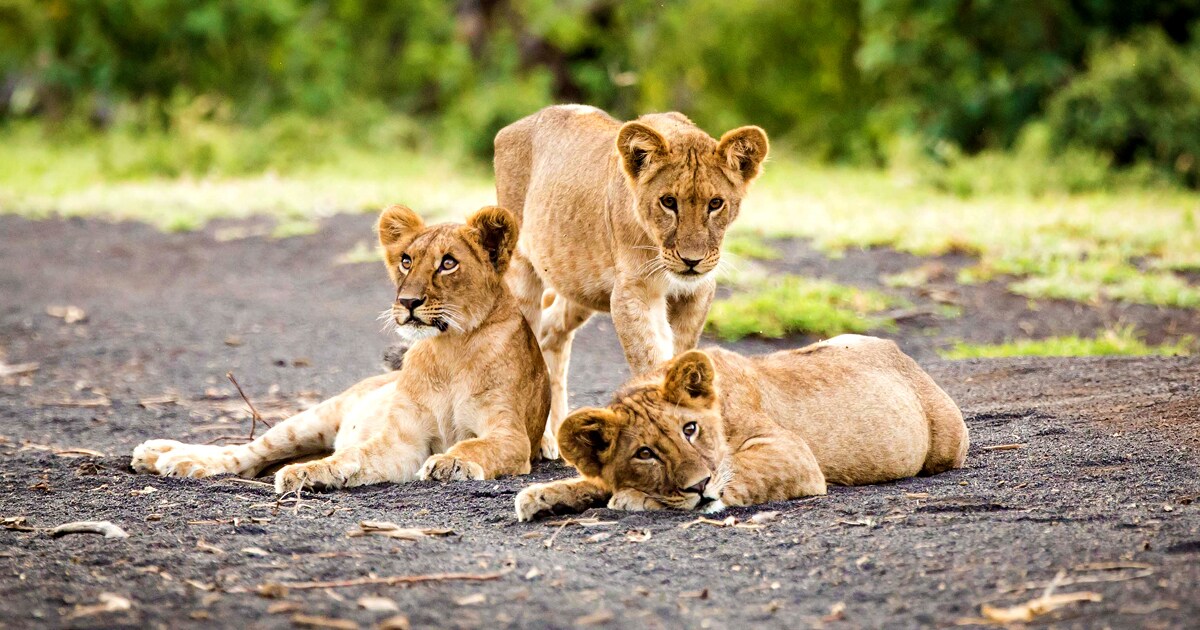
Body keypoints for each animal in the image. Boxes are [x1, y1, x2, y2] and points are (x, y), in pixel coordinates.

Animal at [131, 204, 550, 493]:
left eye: (448, 263)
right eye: (406, 260)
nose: (408, 302)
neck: (448, 348)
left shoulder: (511, 436)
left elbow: (475, 446)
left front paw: (451, 463)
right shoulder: (403, 440)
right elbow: (353, 455)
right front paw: (308, 474)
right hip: (311, 419)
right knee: (245, 453)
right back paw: (171, 456)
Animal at [494, 104, 769, 458]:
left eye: (715, 204)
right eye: (668, 202)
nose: (691, 260)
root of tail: (516, 125)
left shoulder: (696, 292)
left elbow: (679, 353)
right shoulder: (632, 293)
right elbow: (651, 356)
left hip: (578, 286)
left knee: (551, 331)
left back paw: (556, 433)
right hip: (522, 267)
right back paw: (541, 440)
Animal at [515, 335, 967, 520]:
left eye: (690, 429)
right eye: (645, 453)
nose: (698, 486)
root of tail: (899, 351)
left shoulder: (792, 453)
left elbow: (737, 472)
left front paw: (635, 499)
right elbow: (589, 482)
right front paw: (541, 496)